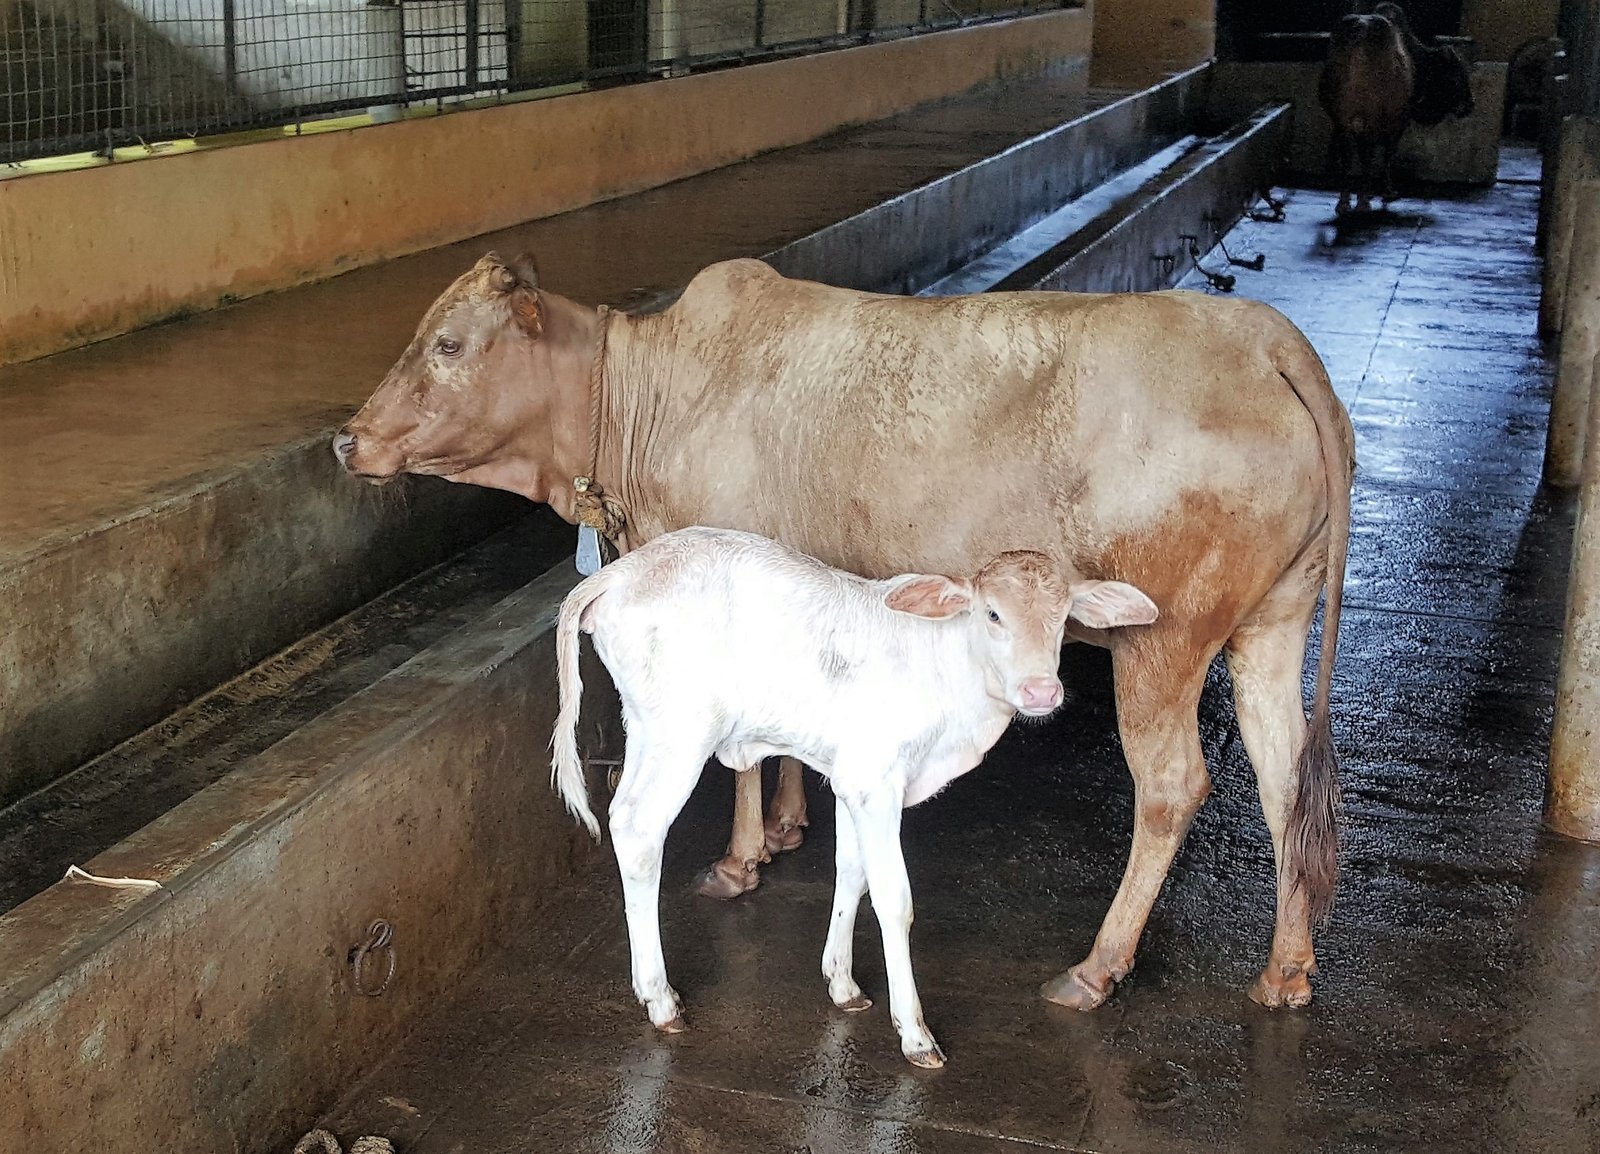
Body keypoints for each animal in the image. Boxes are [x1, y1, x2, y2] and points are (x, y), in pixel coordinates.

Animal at [550, 525, 1160, 1066]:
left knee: (624, 816)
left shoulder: (851, 779)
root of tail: (623, 570)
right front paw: (914, 1032)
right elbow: (894, 899)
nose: (1040, 691)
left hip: (648, 731)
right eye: (992, 613)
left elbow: (851, 872)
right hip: (680, 734)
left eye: (1063, 618)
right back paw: (660, 999)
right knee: (639, 828)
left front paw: (841, 983)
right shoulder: (877, 781)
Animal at [1319, 4, 1473, 216]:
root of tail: (1358, 31)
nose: (1469, 106)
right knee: (1366, 157)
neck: (1417, 61)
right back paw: (1363, 202)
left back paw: (1344, 201)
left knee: (1348, 157)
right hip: (1369, 118)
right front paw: (1387, 191)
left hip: (1341, 120)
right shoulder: (1398, 121)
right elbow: (1387, 156)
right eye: (1456, 76)